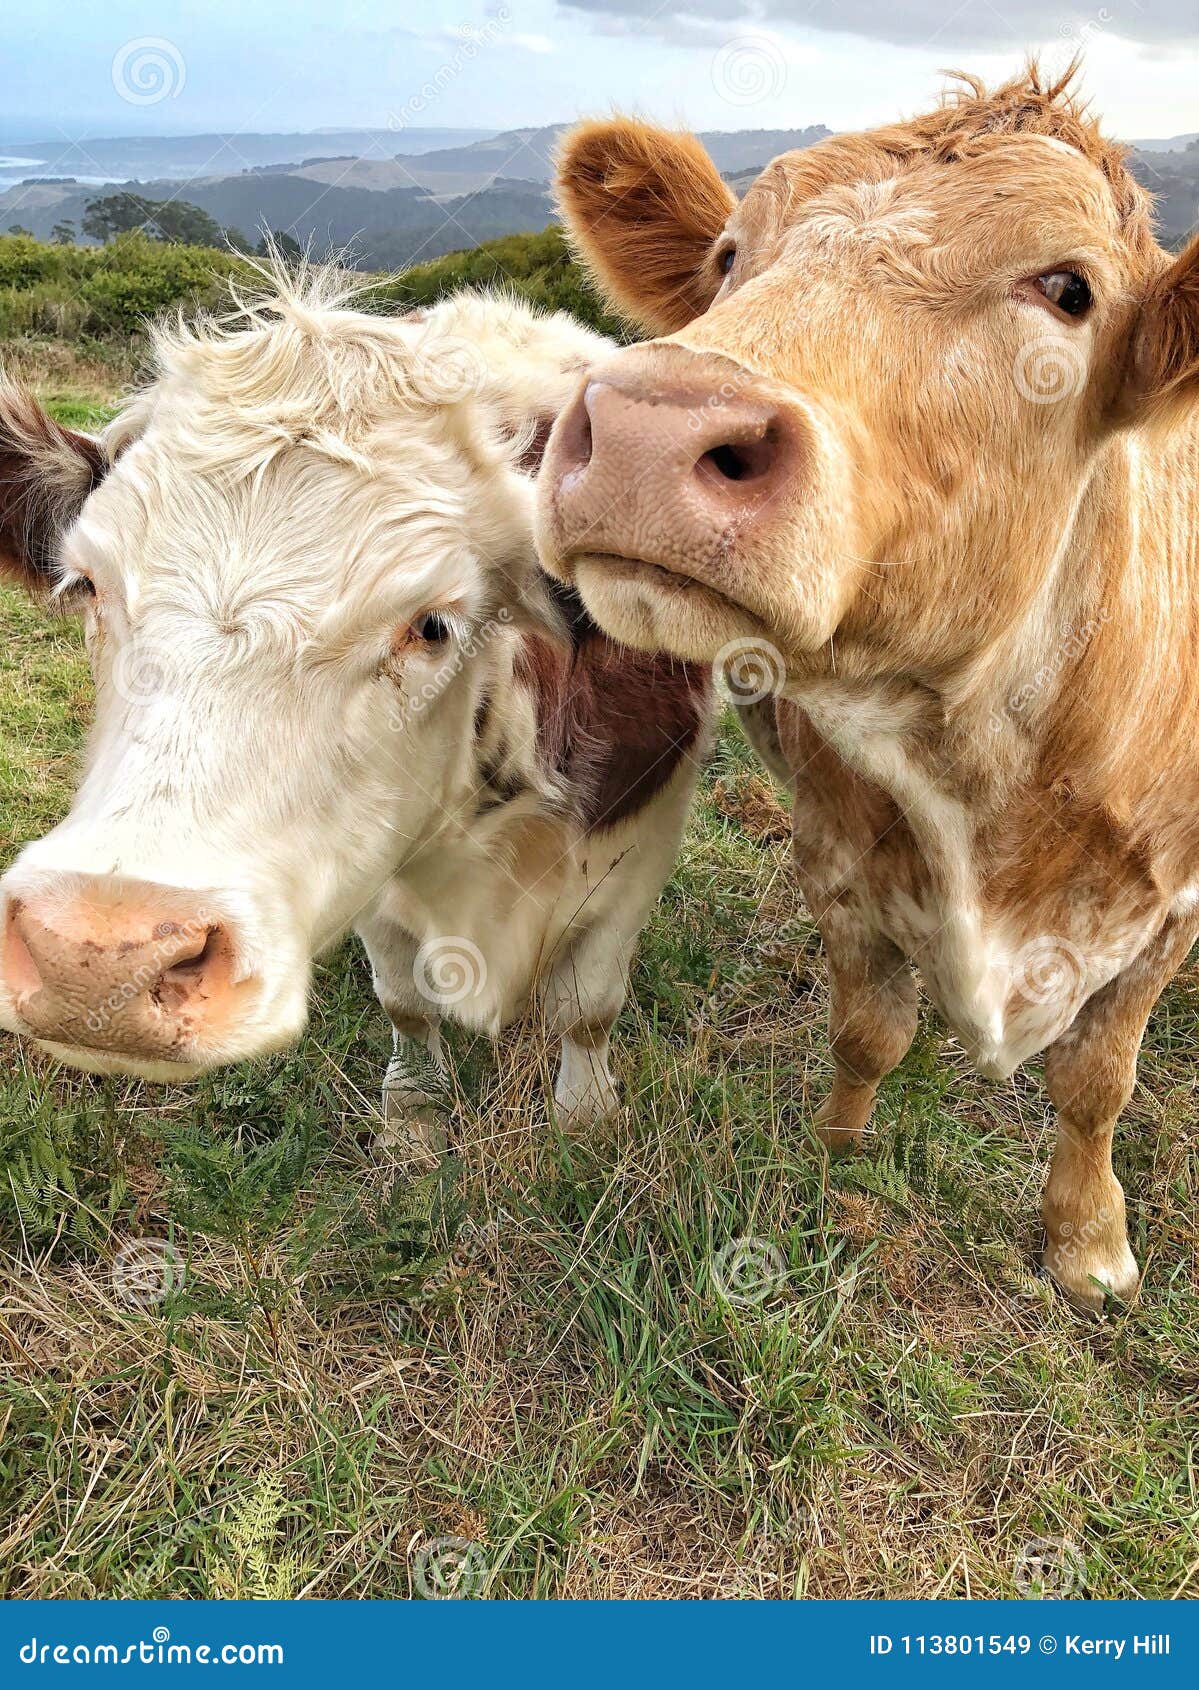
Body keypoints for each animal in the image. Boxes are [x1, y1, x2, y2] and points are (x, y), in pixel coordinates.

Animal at [0, 275, 710, 1151]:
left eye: (432, 625)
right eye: (88, 584)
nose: (95, 958)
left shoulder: (642, 835)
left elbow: (587, 1006)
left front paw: (584, 1118)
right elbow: (404, 998)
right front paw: (414, 1114)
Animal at [536, 64, 1199, 1311]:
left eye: (1066, 289)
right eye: (728, 257)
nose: (649, 427)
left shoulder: (1169, 911)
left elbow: (1095, 1080)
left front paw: (1086, 1242)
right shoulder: (834, 854)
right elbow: (867, 1031)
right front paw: (837, 1151)